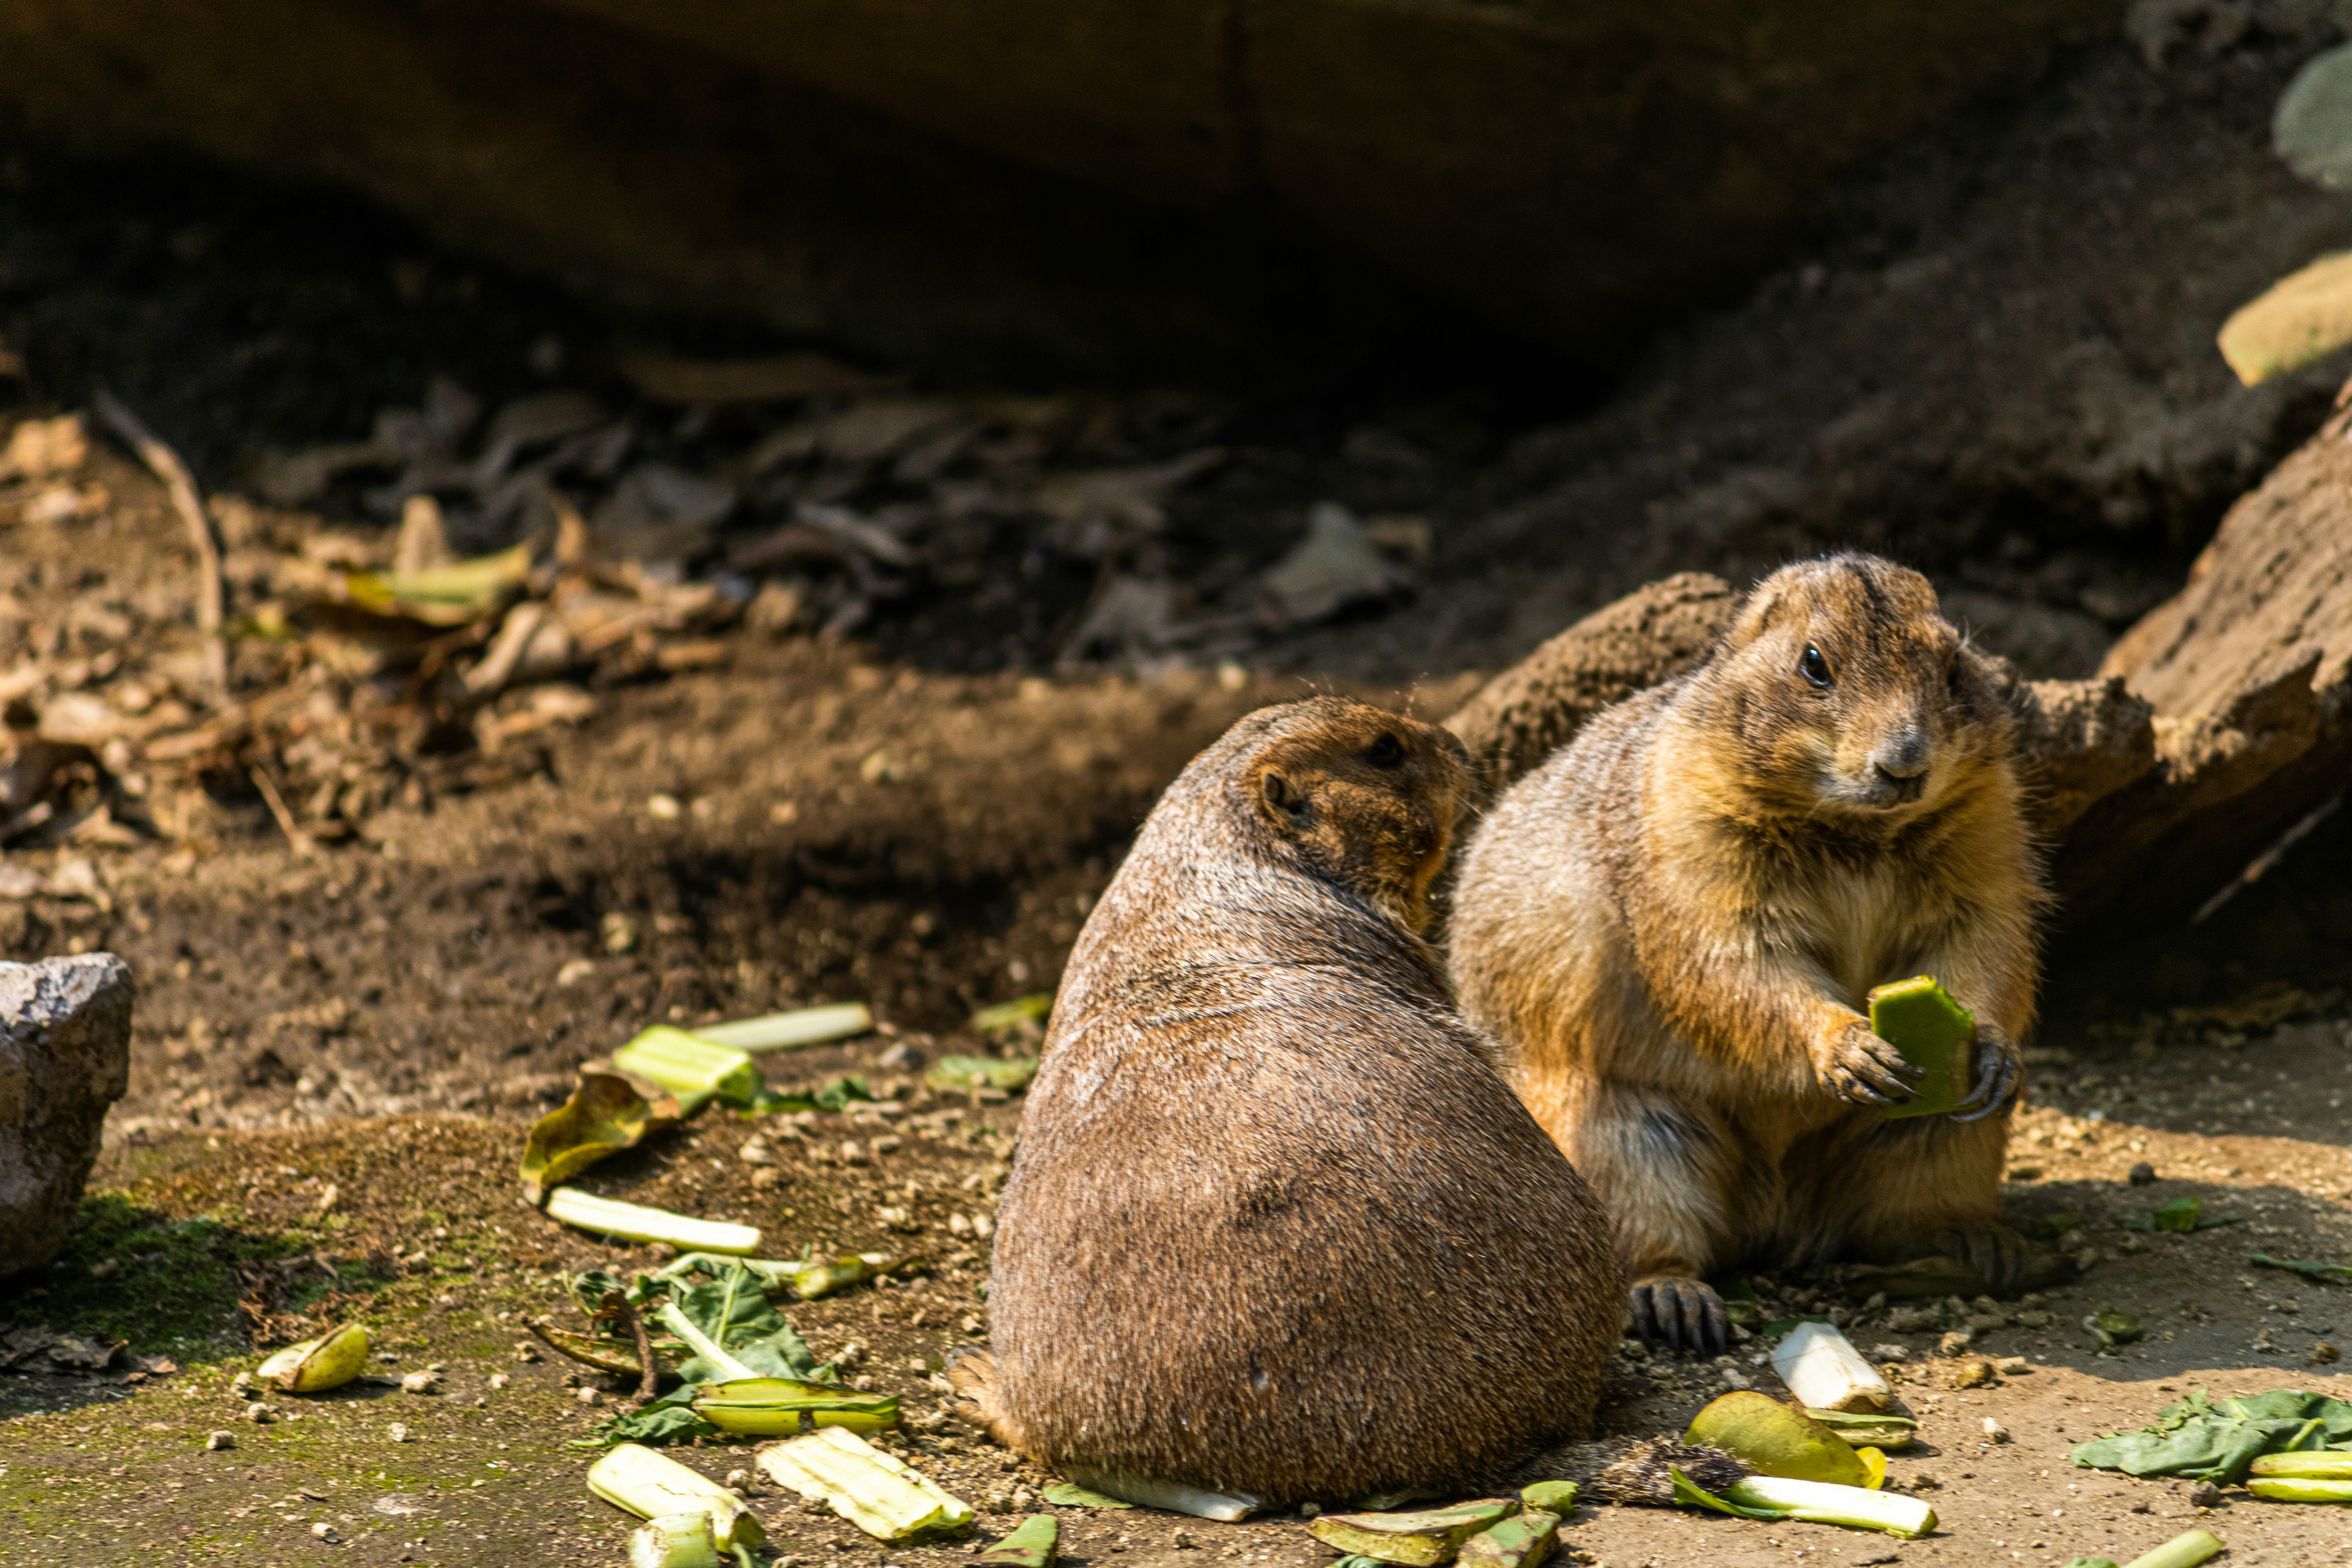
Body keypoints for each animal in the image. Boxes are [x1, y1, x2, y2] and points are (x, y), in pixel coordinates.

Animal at [1448, 552, 2044, 1352]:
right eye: (1814, 664)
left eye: (1954, 664)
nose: (1906, 764)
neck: (1855, 833)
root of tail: (1777, 1222)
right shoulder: (1692, 841)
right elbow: (1732, 963)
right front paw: (1849, 1046)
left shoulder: (1986, 831)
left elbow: (1987, 939)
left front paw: (1993, 1052)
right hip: (1625, 1139)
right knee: (1647, 1239)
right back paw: (1673, 1298)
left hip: (1936, 1144)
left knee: (1894, 1223)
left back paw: (1983, 1247)